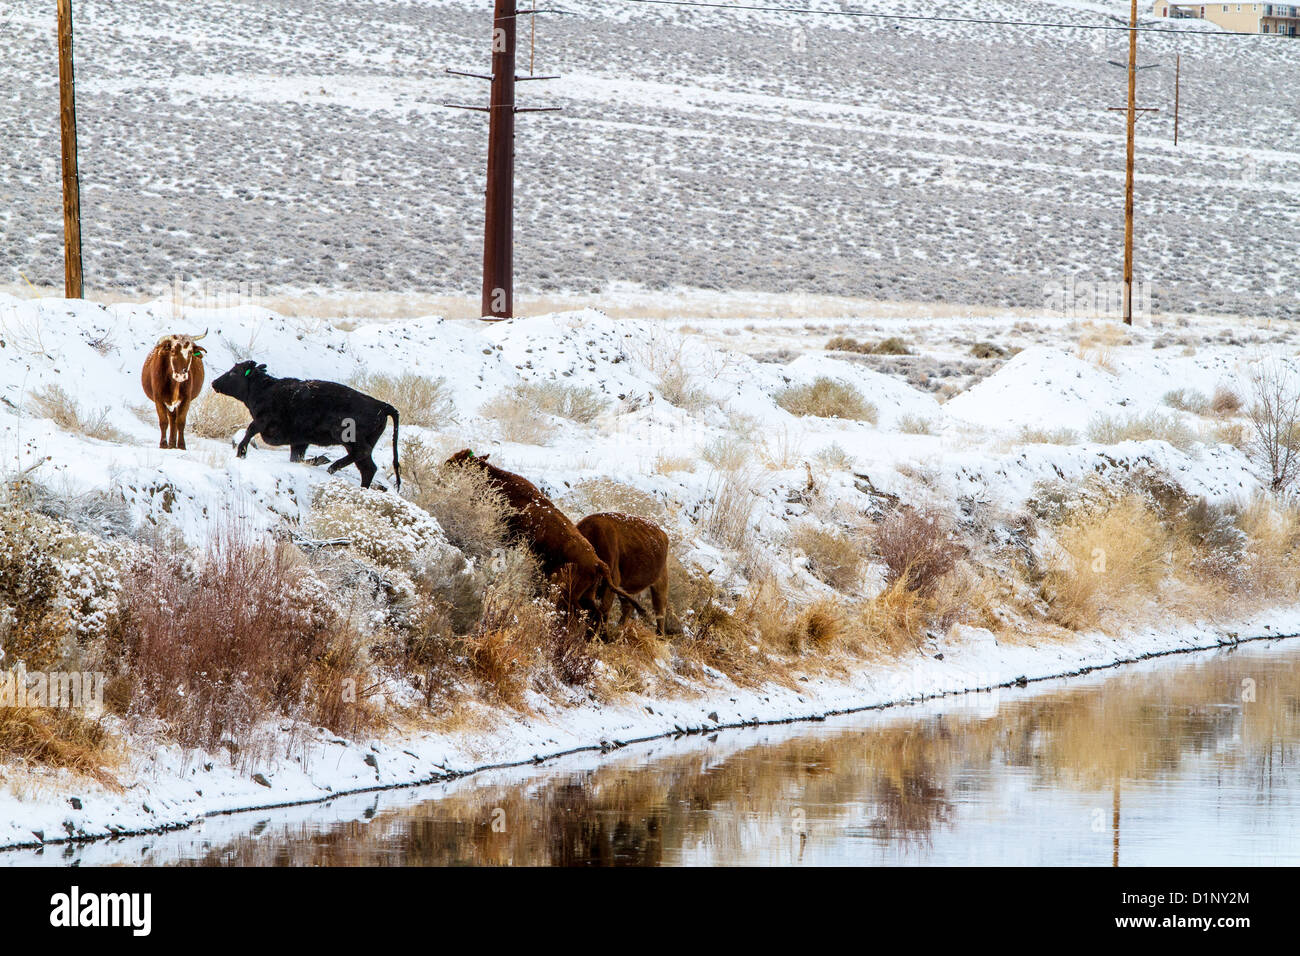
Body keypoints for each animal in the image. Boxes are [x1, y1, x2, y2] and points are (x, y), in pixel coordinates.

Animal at [211, 361, 400, 490]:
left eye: (233, 373)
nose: (214, 382)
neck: (265, 389)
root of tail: (381, 405)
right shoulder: (299, 440)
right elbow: (296, 457)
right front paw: (318, 459)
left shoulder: (262, 421)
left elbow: (249, 431)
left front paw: (241, 452)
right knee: (368, 467)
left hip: (346, 436)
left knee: (363, 454)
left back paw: (332, 467)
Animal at [444, 449, 648, 628]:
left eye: (458, 461)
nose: (444, 465)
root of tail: (597, 562)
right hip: (585, 595)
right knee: (594, 616)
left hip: (567, 594)